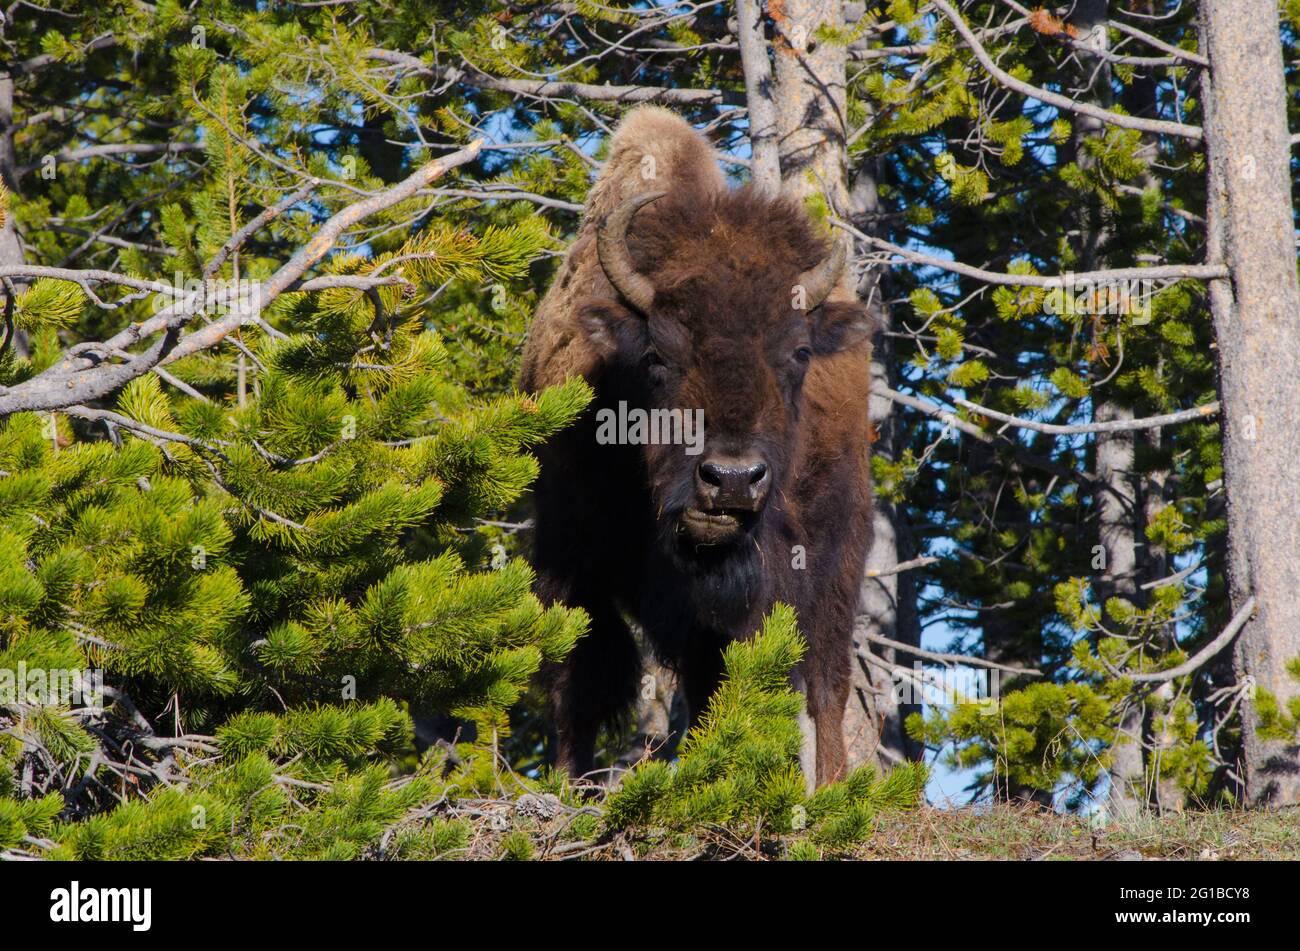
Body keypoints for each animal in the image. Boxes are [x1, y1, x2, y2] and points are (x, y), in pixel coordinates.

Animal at [520, 106, 875, 786]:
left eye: (799, 352)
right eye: (657, 357)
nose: (731, 481)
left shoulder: (829, 558)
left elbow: (824, 681)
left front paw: (833, 790)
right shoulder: (573, 557)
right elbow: (580, 679)